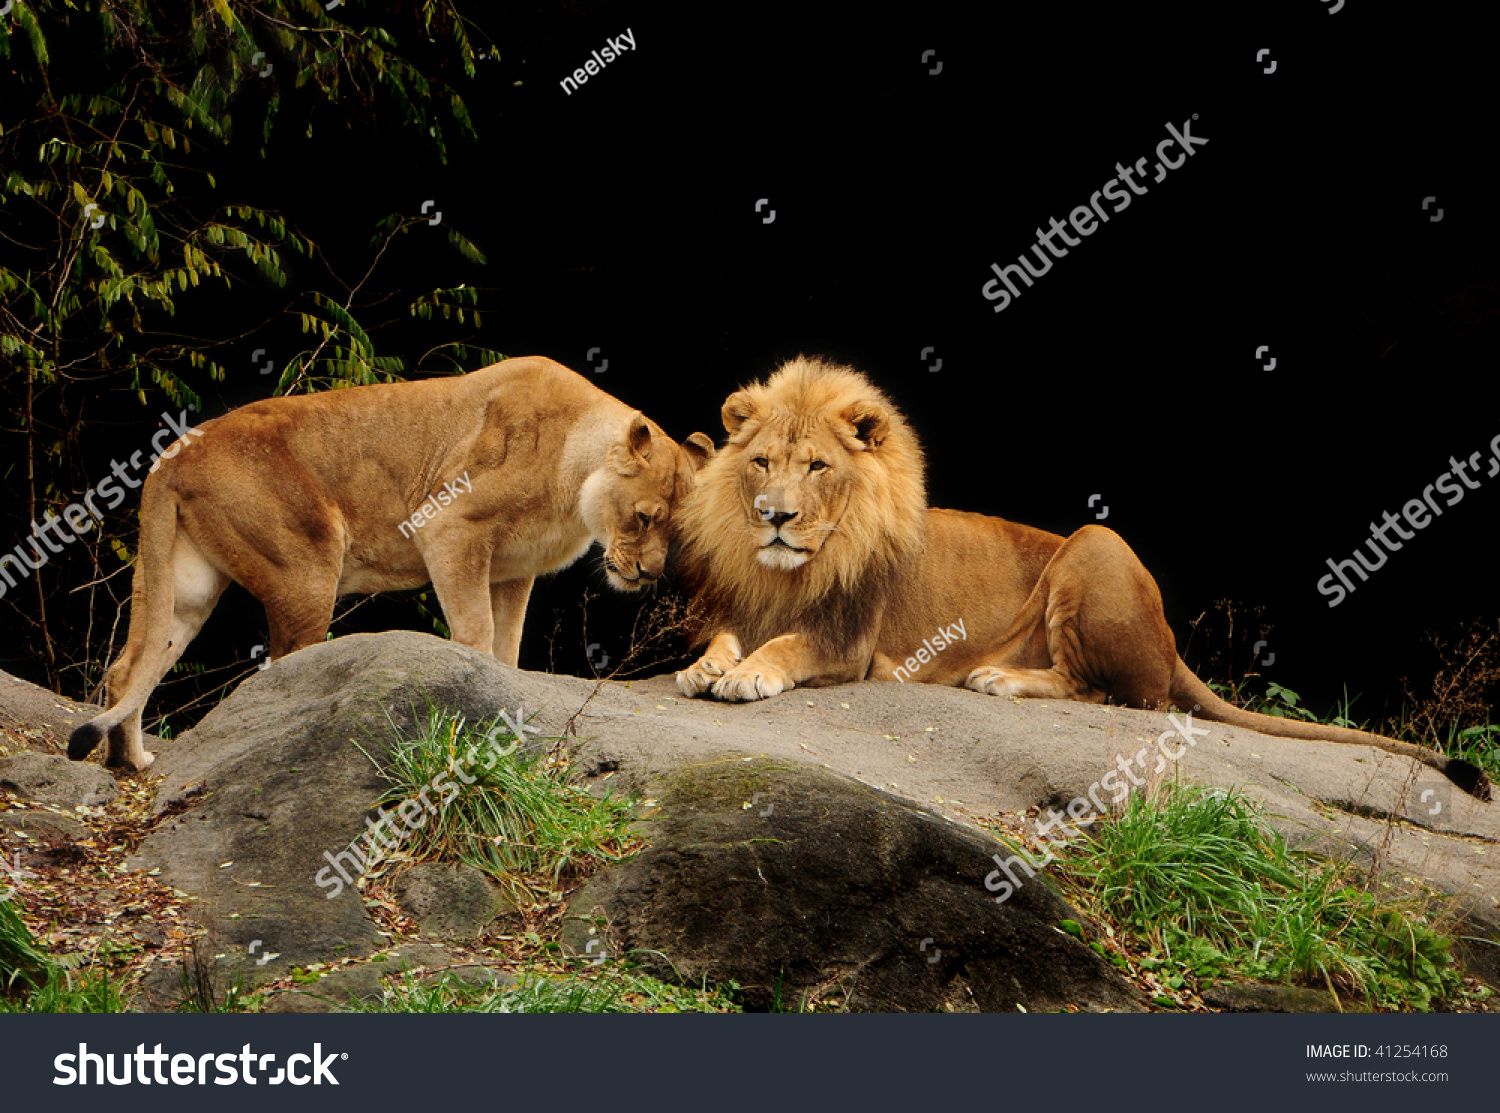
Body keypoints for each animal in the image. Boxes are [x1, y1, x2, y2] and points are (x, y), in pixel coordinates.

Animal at [69, 356, 713, 772]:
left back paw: (129, 763)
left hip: (188, 585)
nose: (648, 574)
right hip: (307, 568)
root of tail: (172, 455)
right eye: (645, 518)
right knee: (284, 666)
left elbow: (508, 647)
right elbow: (476, 634)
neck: (572, 469)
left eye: (674, 529)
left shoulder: (511, 570)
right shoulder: (448, 527)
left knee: (129, 668)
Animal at [673, 356, 1488, 798]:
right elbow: (726, 637)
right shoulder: (746, 605)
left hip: (1095, 546)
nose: (775, 516)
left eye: (817, 466)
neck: (788, 571)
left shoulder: (848, 641)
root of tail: (1170, 642)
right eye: (761, 462)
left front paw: (748, 676)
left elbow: (790, 648)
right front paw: (705, 668)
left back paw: (1001, 679)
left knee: (1112, 692)